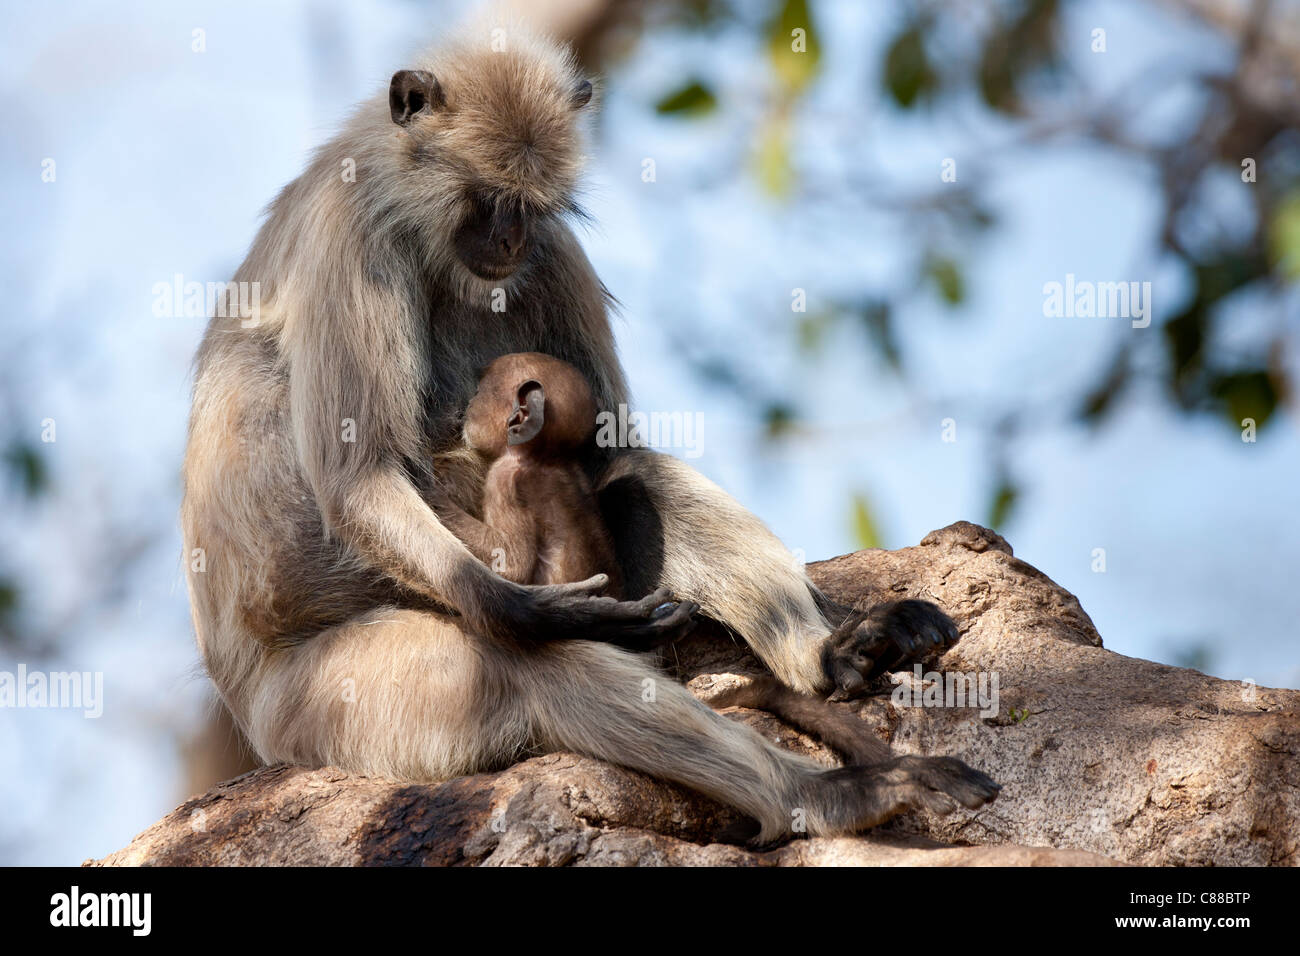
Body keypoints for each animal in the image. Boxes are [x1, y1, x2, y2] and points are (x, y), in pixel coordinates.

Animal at [181, 27, 998, 843]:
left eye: (528, 205)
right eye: (486, 200)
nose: (509, 240)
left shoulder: (552, 247)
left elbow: (606, 450)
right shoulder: (354, 234)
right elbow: (362, 478)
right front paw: (533, 610)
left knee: (631, 475)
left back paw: (826, 659)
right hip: (324, 703)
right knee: (530, 669)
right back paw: (821, 793)